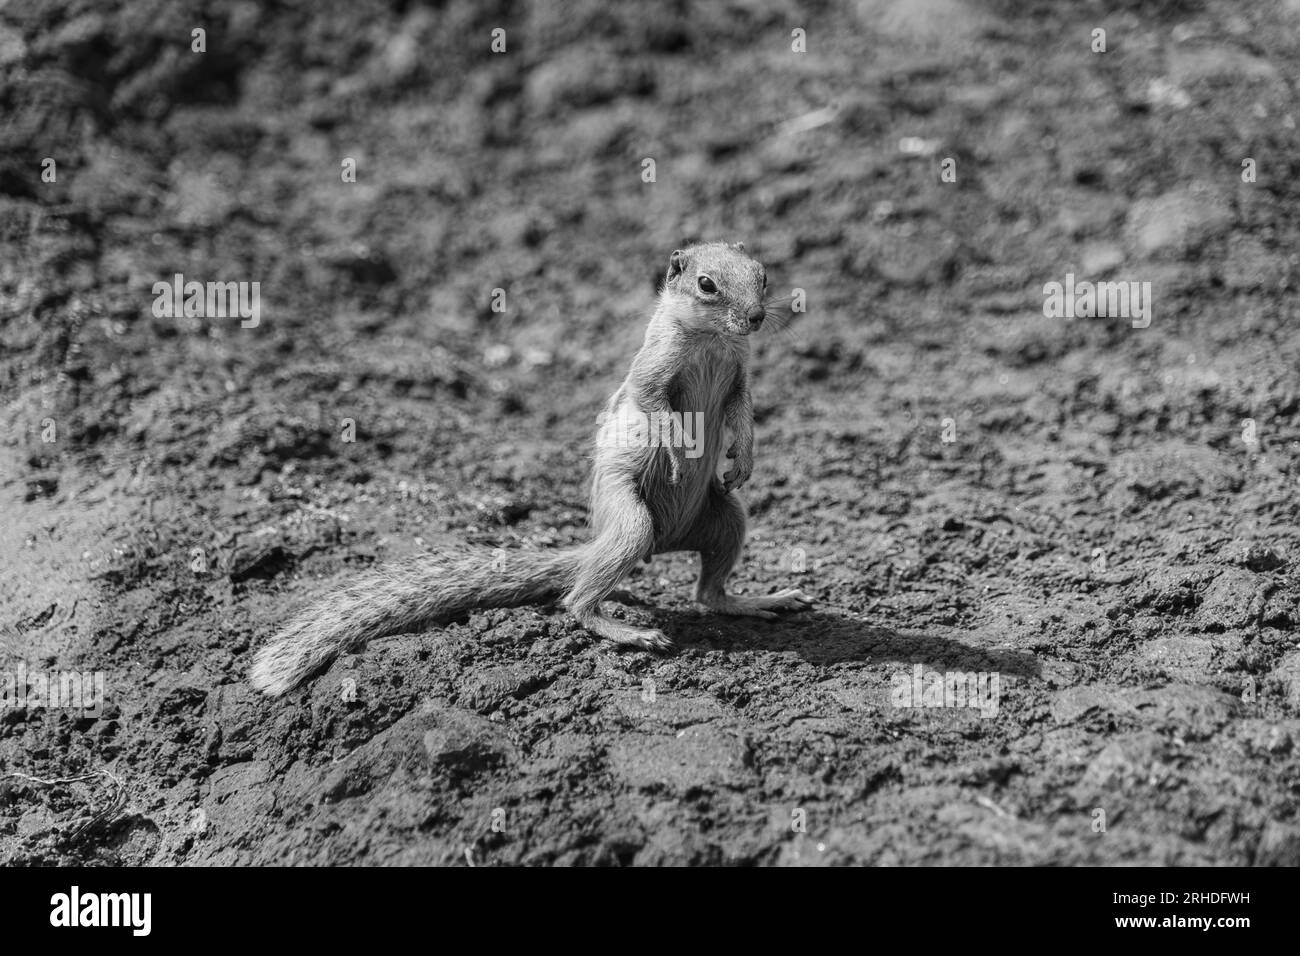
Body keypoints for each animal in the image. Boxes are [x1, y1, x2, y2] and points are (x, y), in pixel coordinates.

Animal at [250, 241, 812, 696]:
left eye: (763, 275)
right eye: (706, 284)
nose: (756, 317)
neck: (712, 339)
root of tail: (653, 540)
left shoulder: (740, 377)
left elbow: (743, 413)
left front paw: (744, 460)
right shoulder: (653, 371)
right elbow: (655, 407)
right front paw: (677, 449)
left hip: (727, 518)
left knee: (708, 593)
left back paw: (759, 600)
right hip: (631, 520)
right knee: (578, 601)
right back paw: (629, 631)